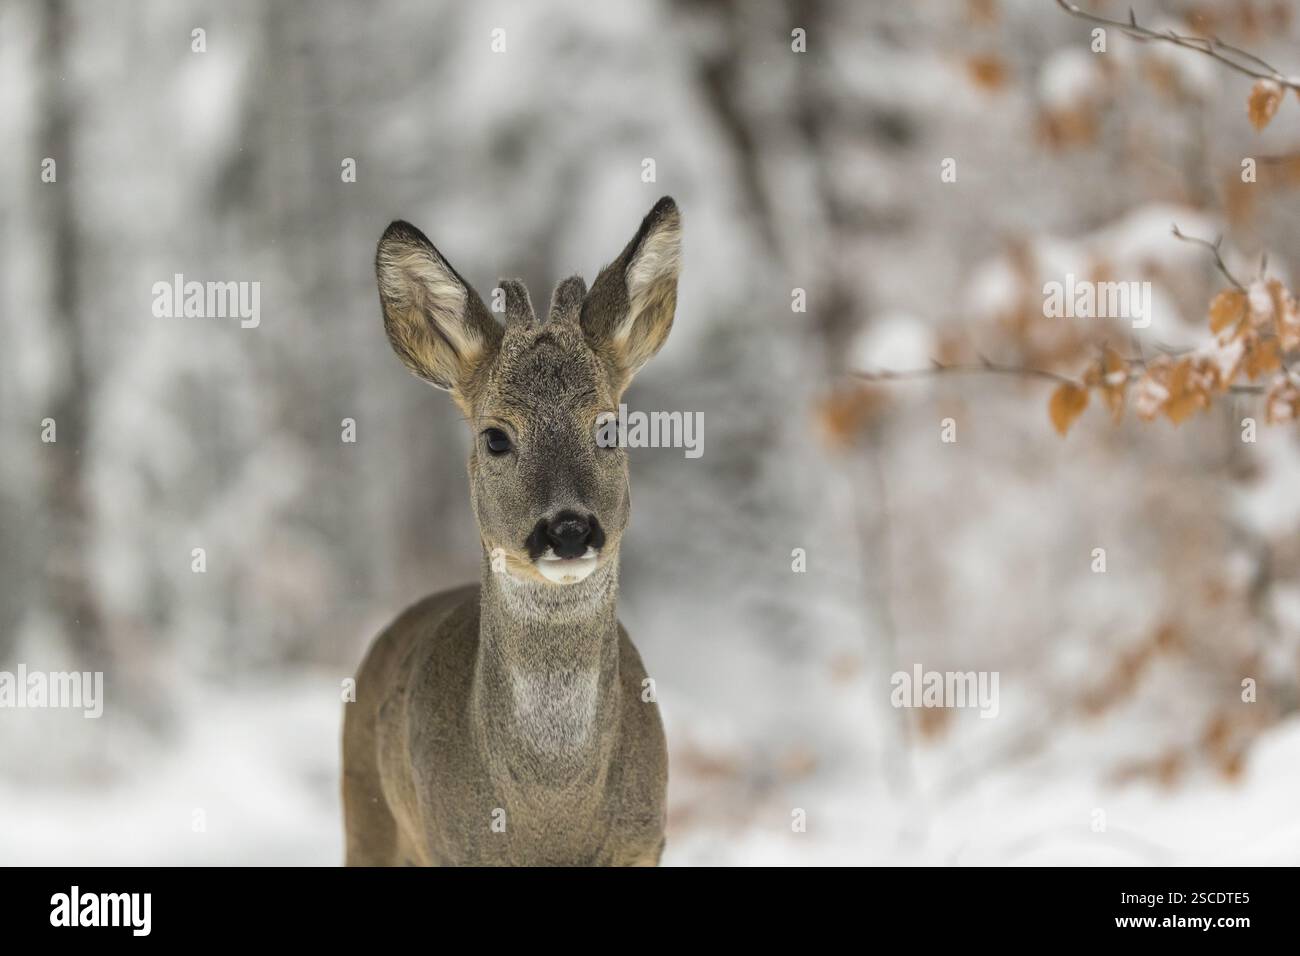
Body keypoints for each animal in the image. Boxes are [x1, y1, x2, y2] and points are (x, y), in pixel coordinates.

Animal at [342, 197, 681, 866]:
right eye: (496, 437)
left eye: (609, 427)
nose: (569, 529)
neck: (551, 816)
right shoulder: (451, 847)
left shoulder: (645, 841)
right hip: (365, 813)